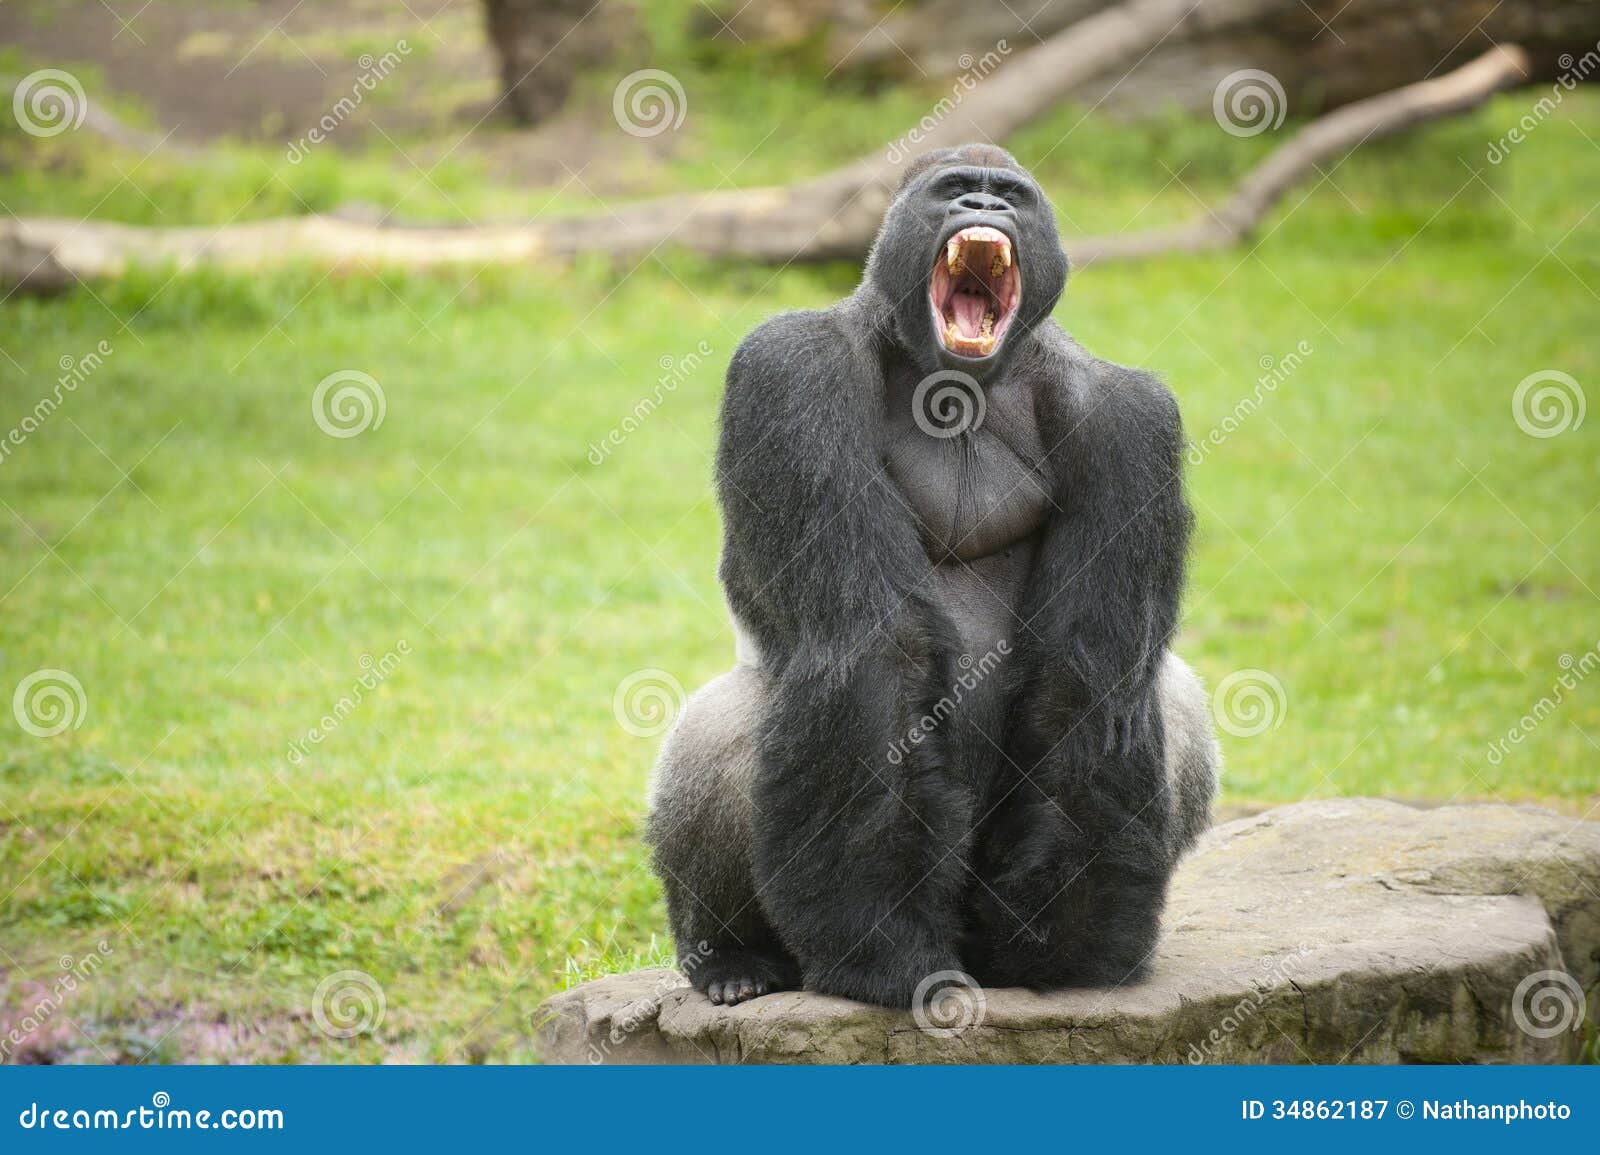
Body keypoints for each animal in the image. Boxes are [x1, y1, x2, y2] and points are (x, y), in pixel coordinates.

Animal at [646, 144, 1219, 1009]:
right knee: (724, 720)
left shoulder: (1131, 415)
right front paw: (882, 947)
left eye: (1011, 195)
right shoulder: (792, 368)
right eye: (953, 191)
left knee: (1168, 694)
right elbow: (882, 649)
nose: (983, 205)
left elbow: (1085, 676)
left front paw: (1068, 939)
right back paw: (733, 953)